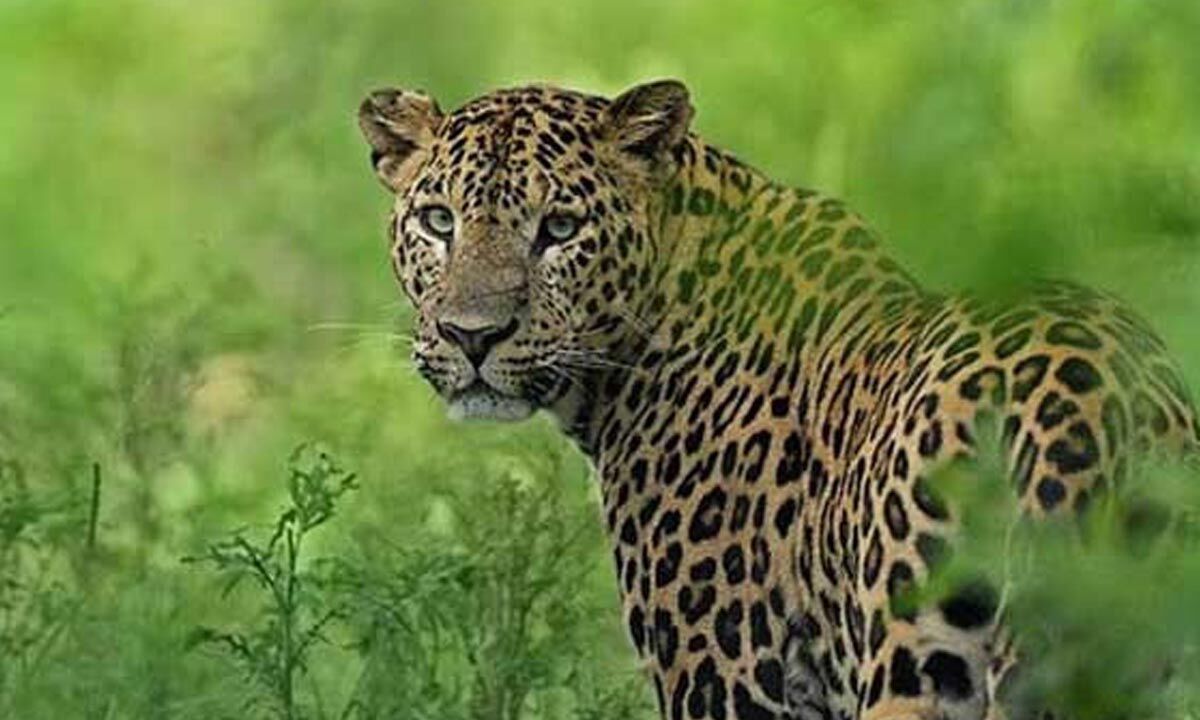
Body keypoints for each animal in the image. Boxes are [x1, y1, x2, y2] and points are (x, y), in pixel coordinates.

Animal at [355, 79, 1199, 719]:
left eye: (560, 228)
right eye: (438, 221)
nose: (472, 336)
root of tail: (1089, 393)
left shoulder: (724, 679)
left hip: (916, 660)